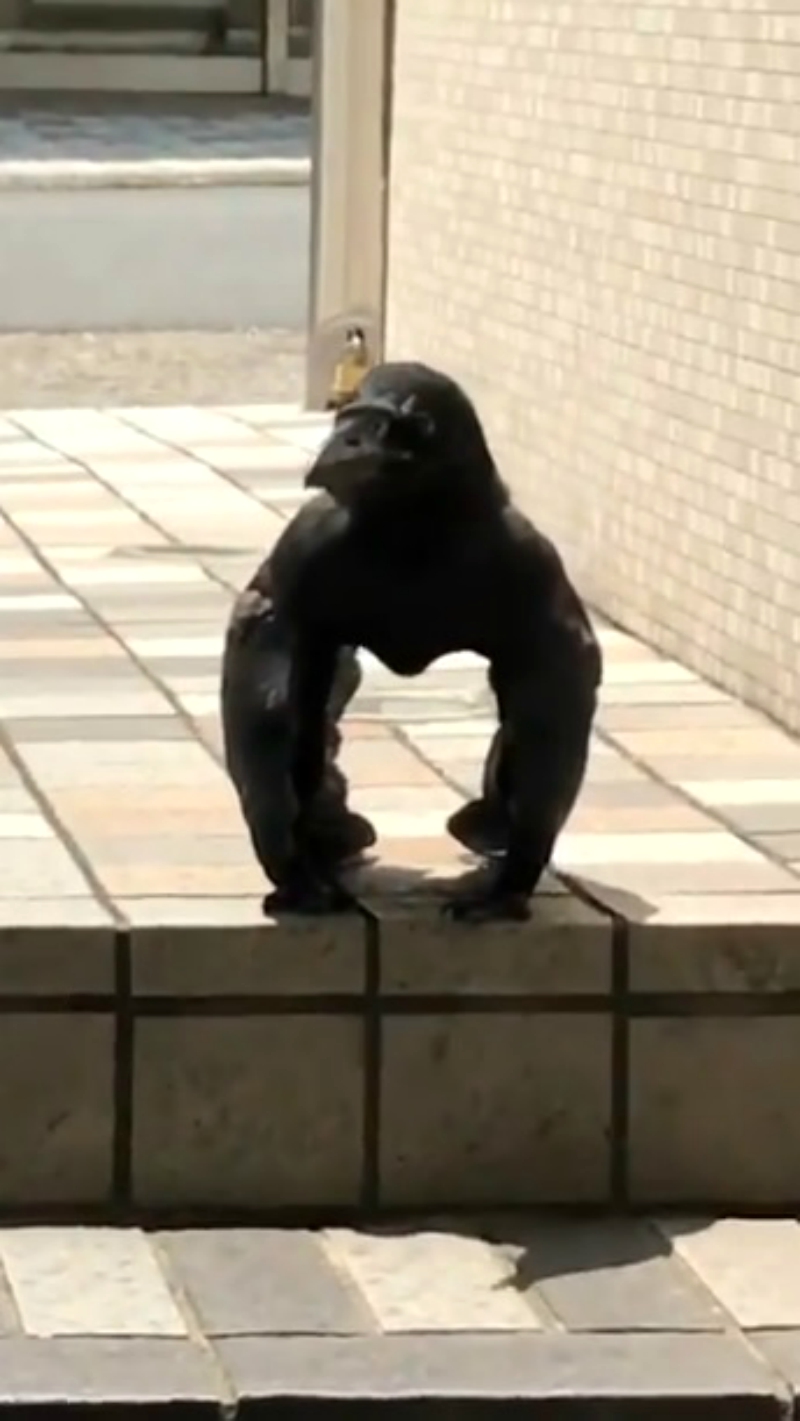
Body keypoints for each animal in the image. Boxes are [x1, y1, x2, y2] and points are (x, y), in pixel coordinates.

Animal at [220, 360, 602, 922]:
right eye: (347, 415)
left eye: (385, 423)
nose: (344, 440)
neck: (413, 527)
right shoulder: (307, 551)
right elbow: (274, 668)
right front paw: (295, 865)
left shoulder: (529, 566)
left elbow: (550, 696)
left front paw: (508, 882)